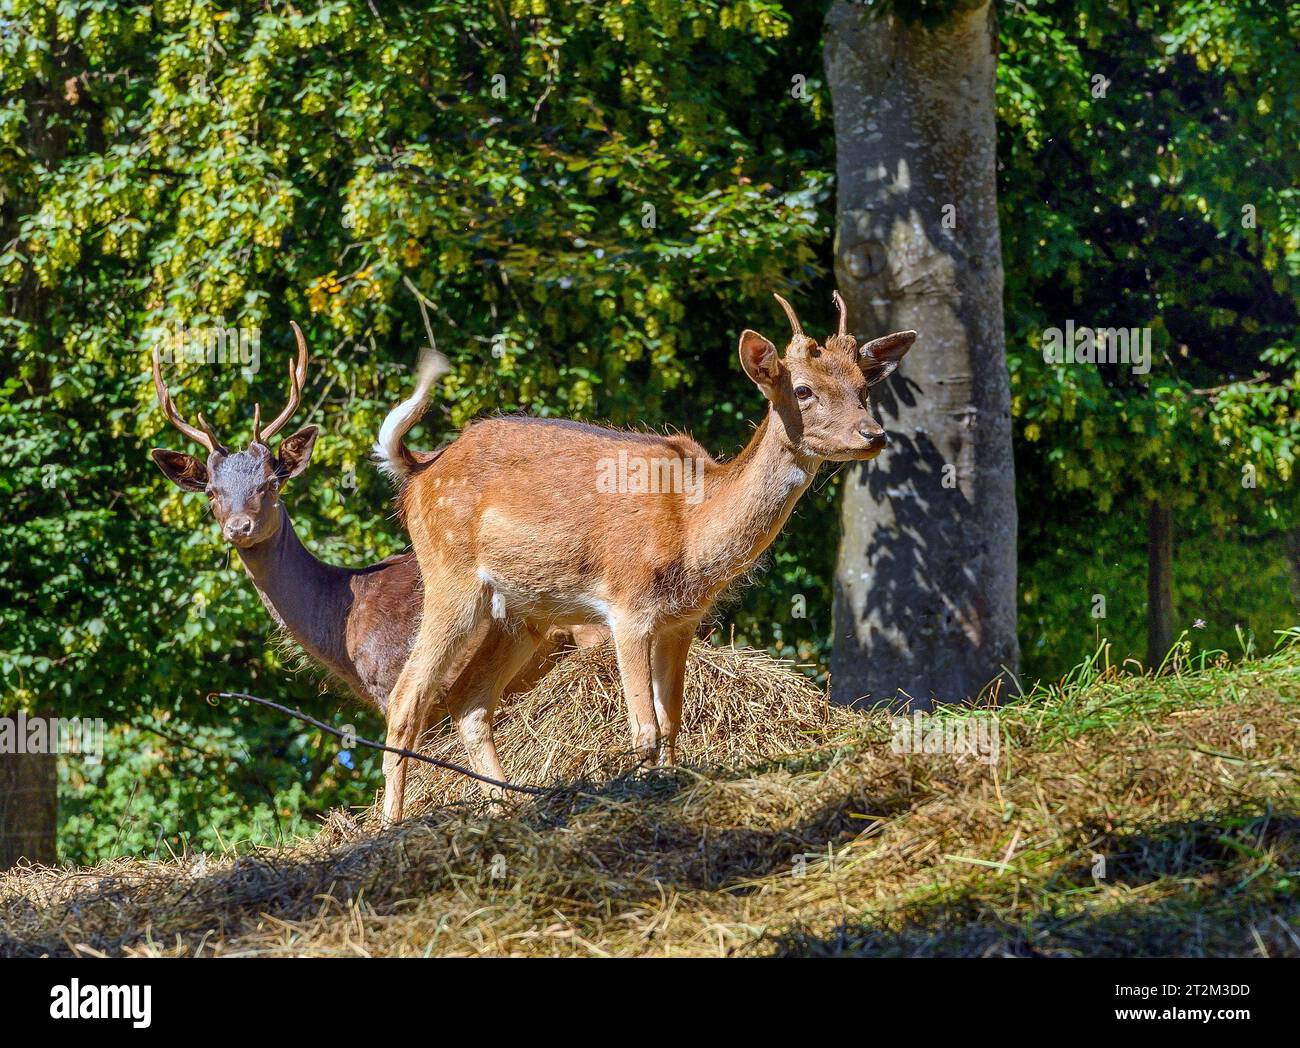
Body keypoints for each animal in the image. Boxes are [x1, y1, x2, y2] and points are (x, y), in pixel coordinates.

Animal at [374, 292, 916, 821]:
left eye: (863, 387)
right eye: (803, 390)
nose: (874, 434)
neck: (691, 531)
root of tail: (419, 470)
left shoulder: (680, 621)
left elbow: (672, 722)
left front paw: (670, 787)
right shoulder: (627, 607)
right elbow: (645, 729)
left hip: (524, 613)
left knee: (468, 700)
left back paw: (507, 804)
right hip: (451, 577)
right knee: (407, 697)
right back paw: (391, 823)